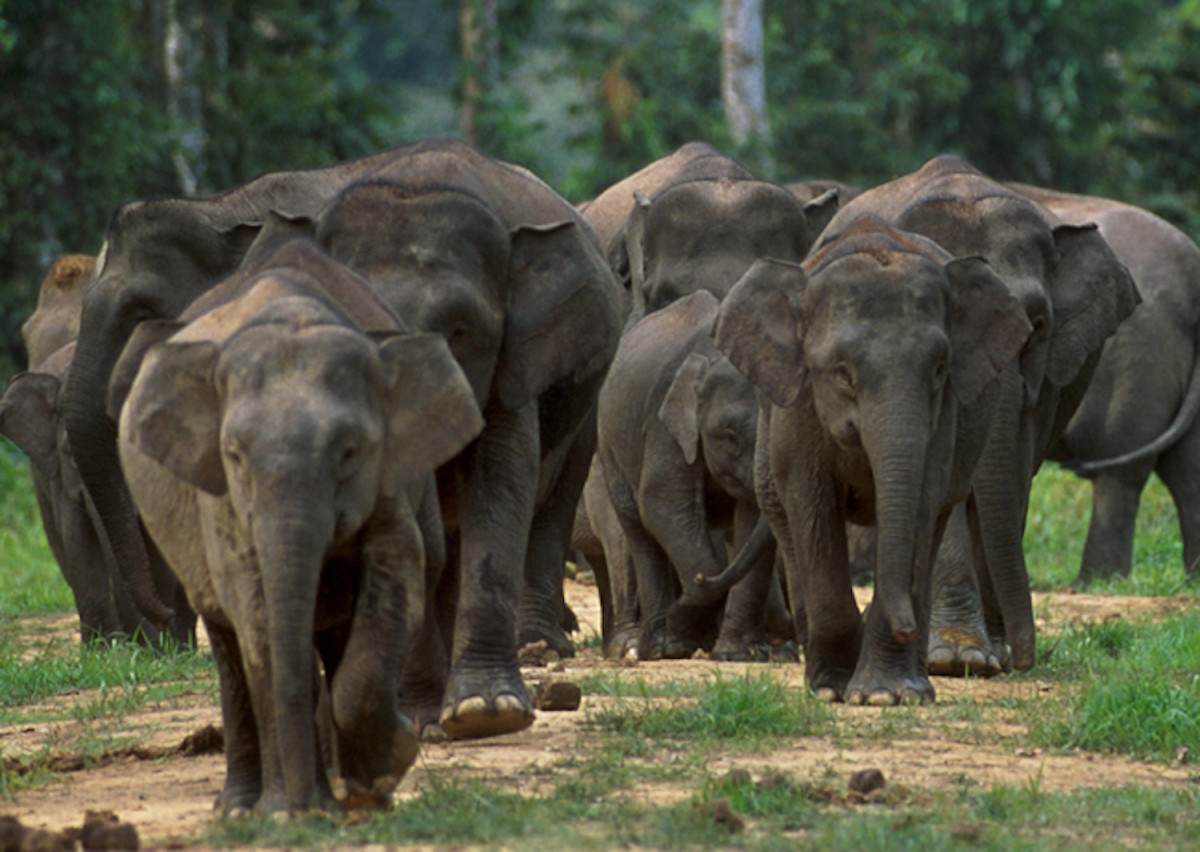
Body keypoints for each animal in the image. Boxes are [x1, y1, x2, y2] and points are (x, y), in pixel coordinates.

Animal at [116, 239, 484, 815]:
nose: (297, 809)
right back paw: (243, 807)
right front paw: (290, 813)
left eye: (351, 451)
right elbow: (256, 610)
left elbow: (396, 577)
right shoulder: (219, 498)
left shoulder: (389, 479)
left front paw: (383, 771)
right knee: (230, 642)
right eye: (234, 455)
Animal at [313, 139, 623, 740]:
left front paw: (487, 712)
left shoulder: (515, 360)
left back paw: (539, 650)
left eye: (460, 332)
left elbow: (501, 481)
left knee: (553, 501)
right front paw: (419, 718)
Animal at [714, 216, 1032, 704]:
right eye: (843, 373)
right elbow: (811, 503)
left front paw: (887, 695)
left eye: (939, 370)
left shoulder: (944, 417)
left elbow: (922, 503)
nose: (904, 627)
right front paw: (833, 688)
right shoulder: (799, 404)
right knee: (784, 516)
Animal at [819, 155, 1139, 675]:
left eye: (1037, 325)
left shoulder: (1045, 385)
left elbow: (1008, 474)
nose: (1025, 658)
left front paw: (987, 655)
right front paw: (953, 657)